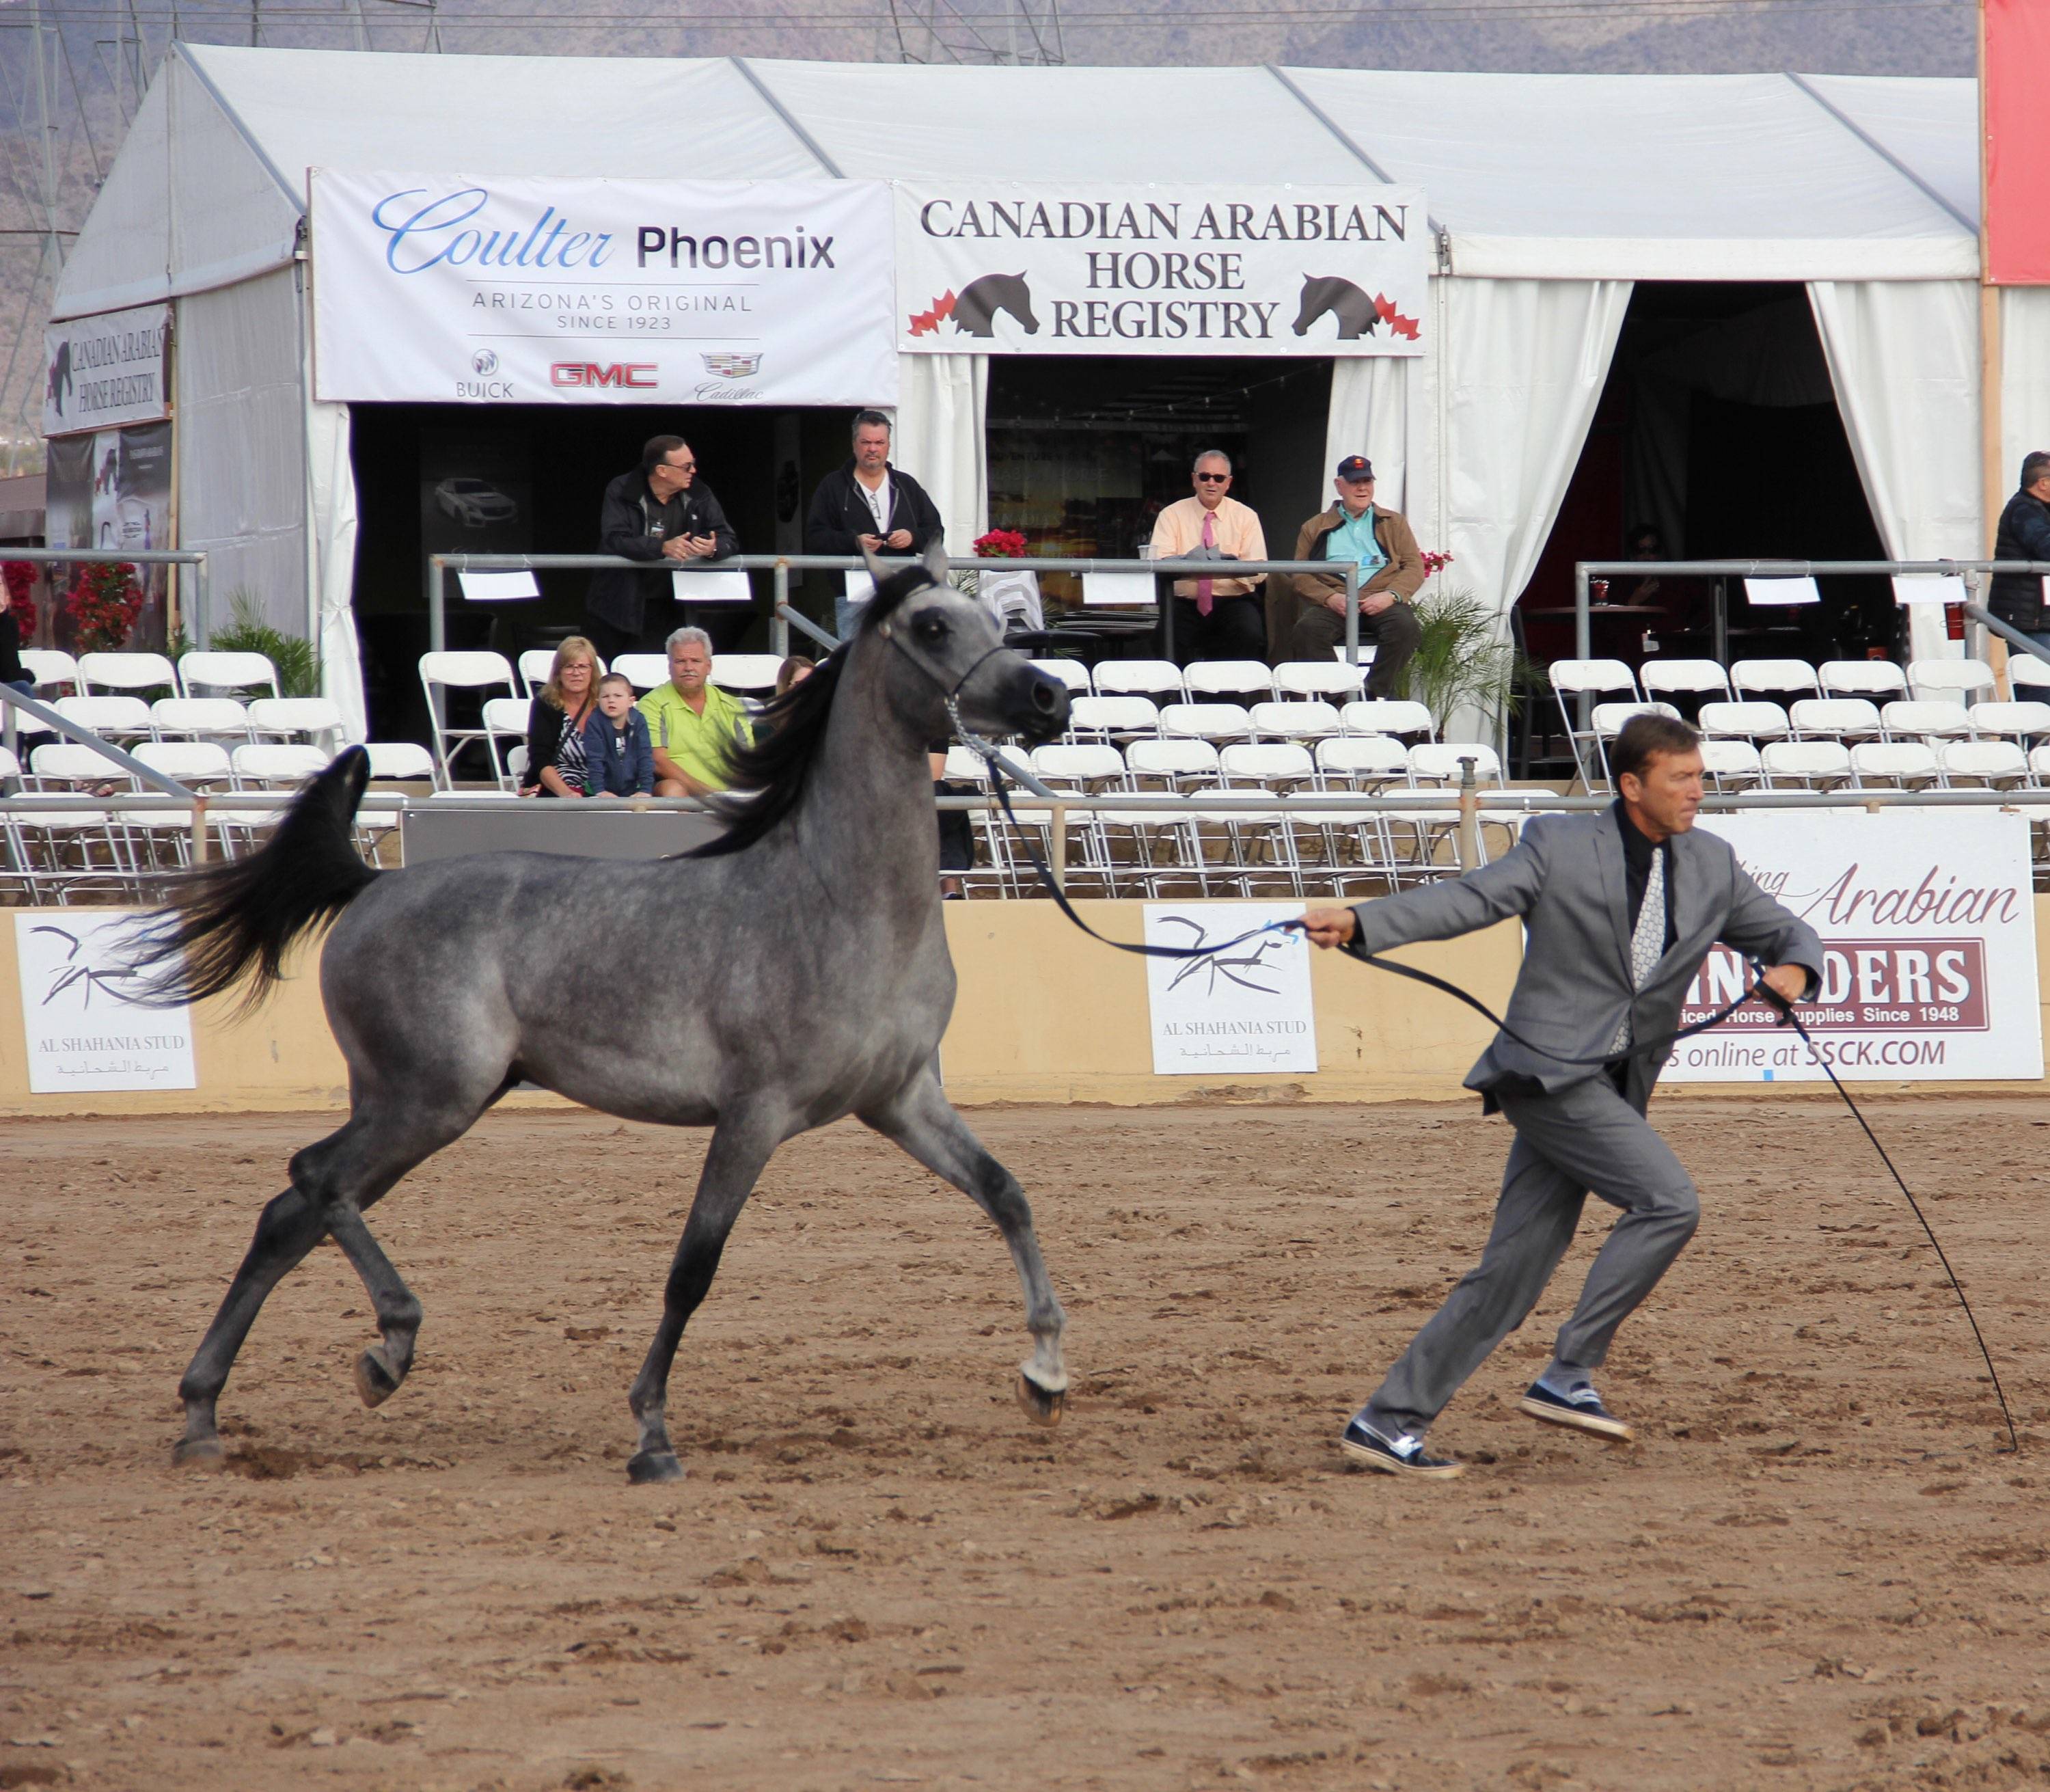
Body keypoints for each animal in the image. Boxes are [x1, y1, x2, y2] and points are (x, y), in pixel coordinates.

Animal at [131, 547, 1073, 1484]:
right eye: (934, 627)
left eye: (999, 624)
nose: (1050, 698)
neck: (840, 902)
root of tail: (372, 885)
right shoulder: (754, 1116)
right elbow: (693, 1269)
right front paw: (652, 1435)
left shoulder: (902, 1100)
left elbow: (1009, 1194)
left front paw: (1045, 1375)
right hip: (428, 1101)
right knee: (315, 1180)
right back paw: (388, 1349)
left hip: (416, 1107)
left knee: (289, 1217)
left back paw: (203, 1417)